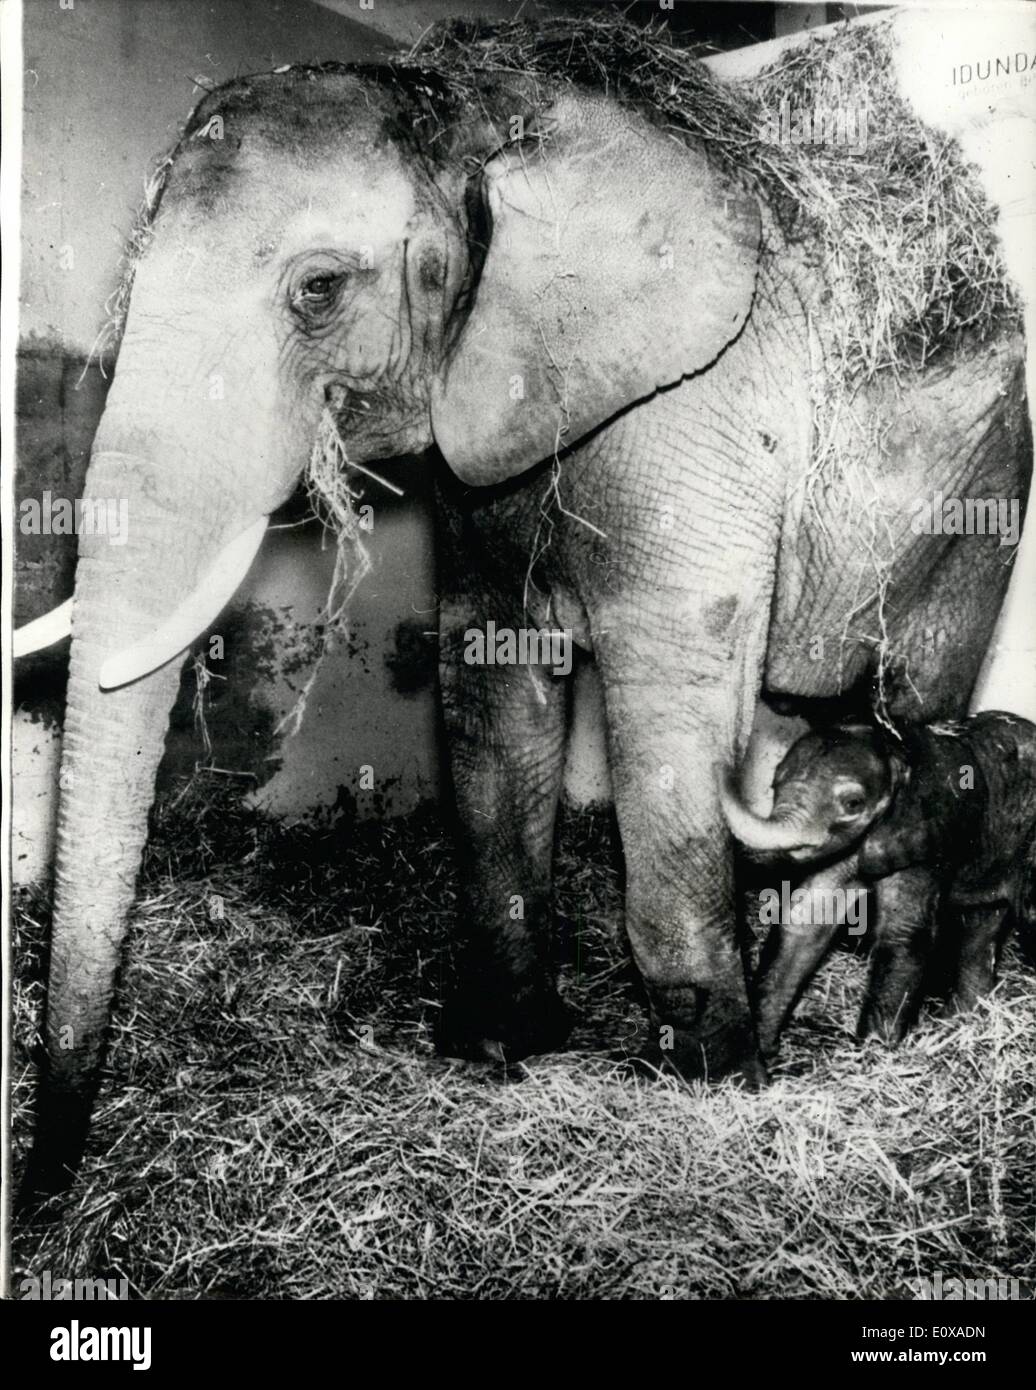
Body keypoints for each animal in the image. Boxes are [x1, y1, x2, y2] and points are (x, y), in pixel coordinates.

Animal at [721, 712, 1036, 1058]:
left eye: (853, 803)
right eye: (774, 786)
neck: (896, 752)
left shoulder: (925, 839)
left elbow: (903, 935)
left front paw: (873, 1055)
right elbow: (806, 921)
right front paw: (760, 1053)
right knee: (981, 926)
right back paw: (959, 1023)